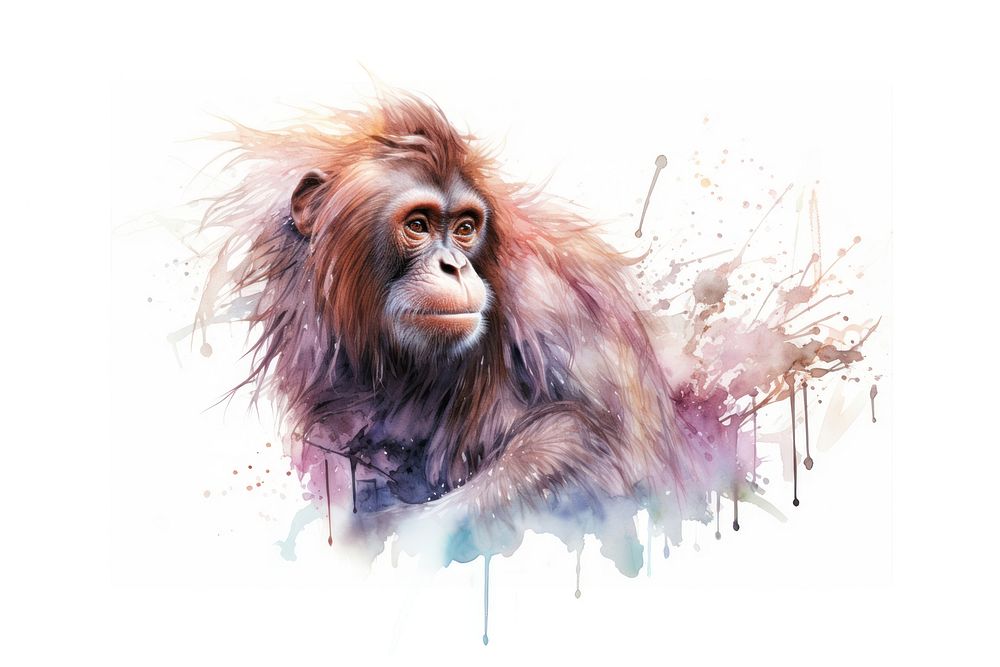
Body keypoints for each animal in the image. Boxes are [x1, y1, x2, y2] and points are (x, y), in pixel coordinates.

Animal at [197, 91, 713, 568]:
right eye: (419, 224)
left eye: (465, 227)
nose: (456, 266)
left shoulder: (549, 297)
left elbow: (603, 448)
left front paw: (404, 533)